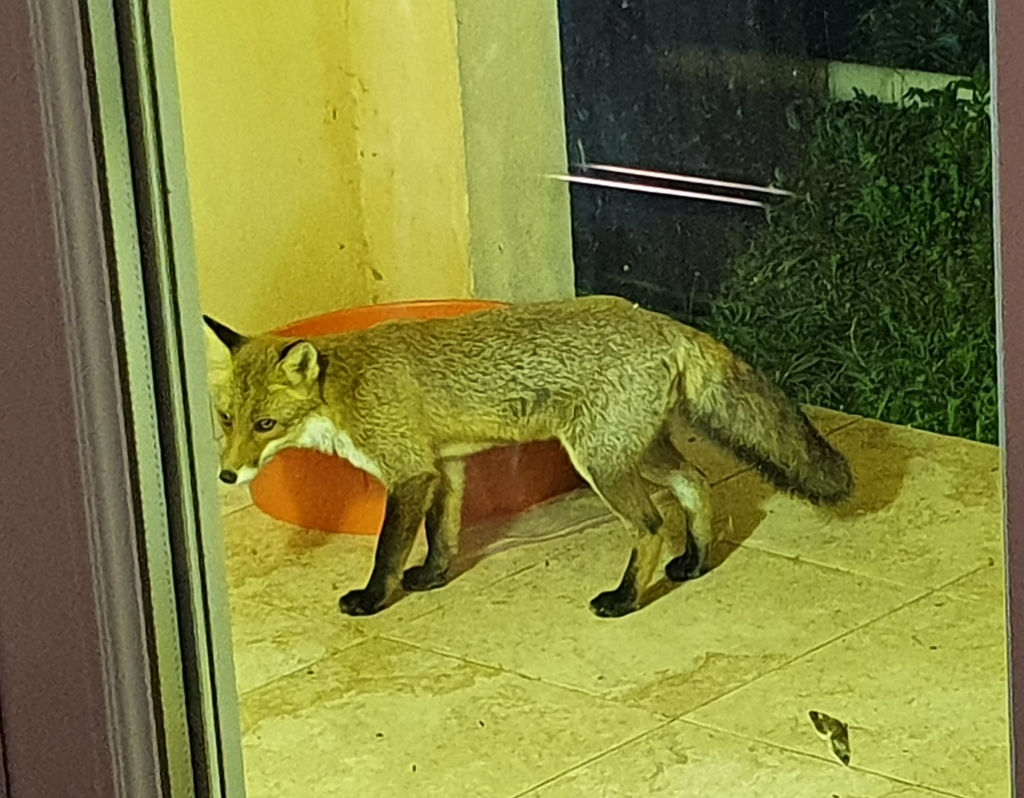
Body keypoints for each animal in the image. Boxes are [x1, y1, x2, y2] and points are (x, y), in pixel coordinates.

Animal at [204, 295, 852, 619]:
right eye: (227, 419)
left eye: (266, 425)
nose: (228, 474)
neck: (345, 388)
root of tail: (661, 322)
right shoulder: (446, 466)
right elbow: (443, 533)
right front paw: (434, 578)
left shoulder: (409, 471)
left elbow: (389, 548)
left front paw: (371, 600)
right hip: (637, 450)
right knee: (695, 484)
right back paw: (693, 563)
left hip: (600, 462)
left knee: (650, 525)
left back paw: (625, 601)